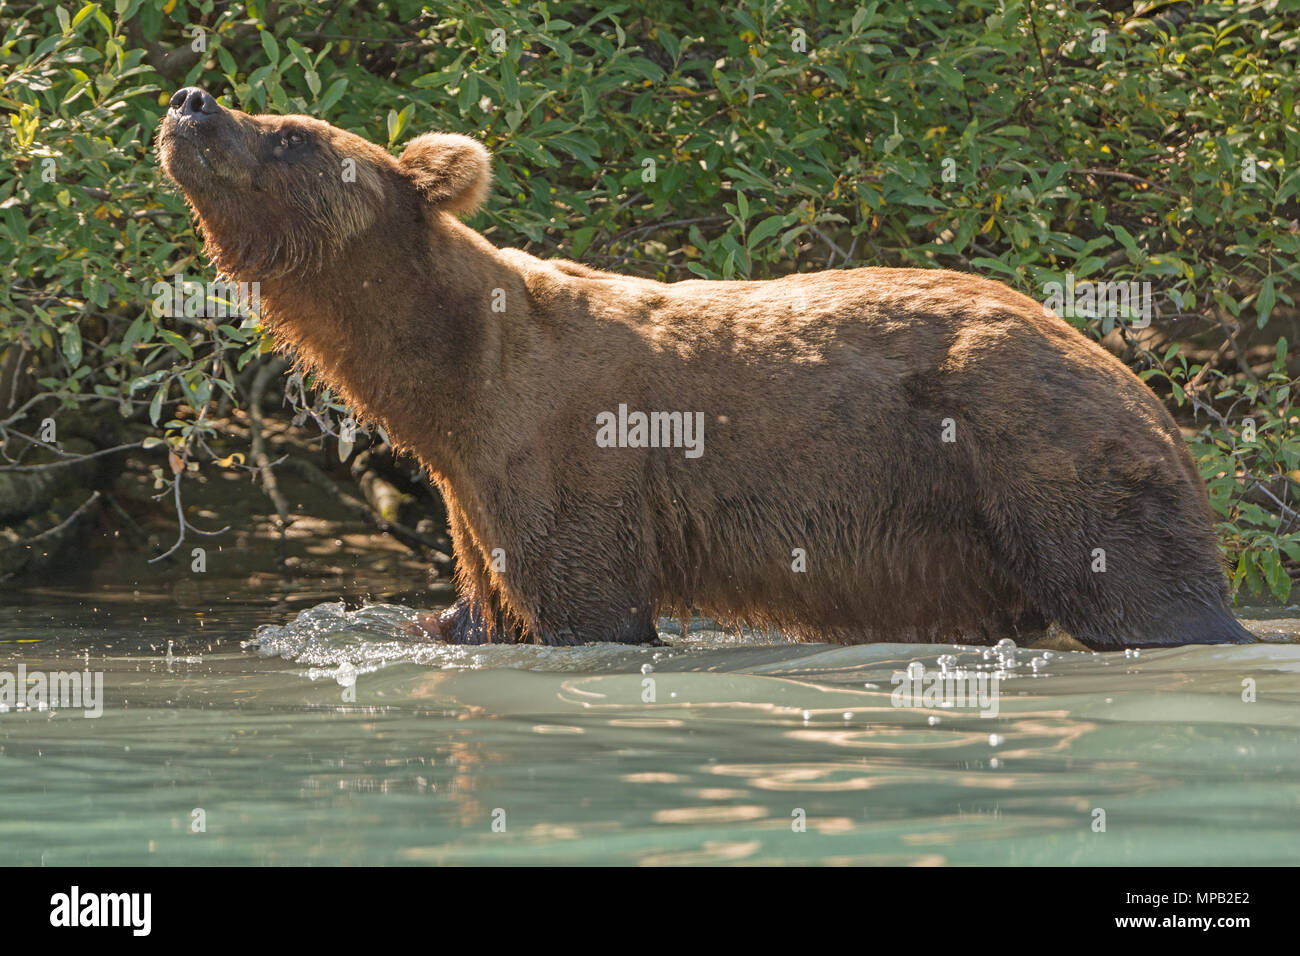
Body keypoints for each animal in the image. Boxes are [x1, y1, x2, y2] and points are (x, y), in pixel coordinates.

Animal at [155, 86, 1254, 651]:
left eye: (291, 132)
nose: (190, 100)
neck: (453, 385)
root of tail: (1142, 386)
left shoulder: (573, 458)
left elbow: (589, 603)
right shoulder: (472, 499)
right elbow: (481, 610)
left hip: (1041, 454)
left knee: (1145, 594)